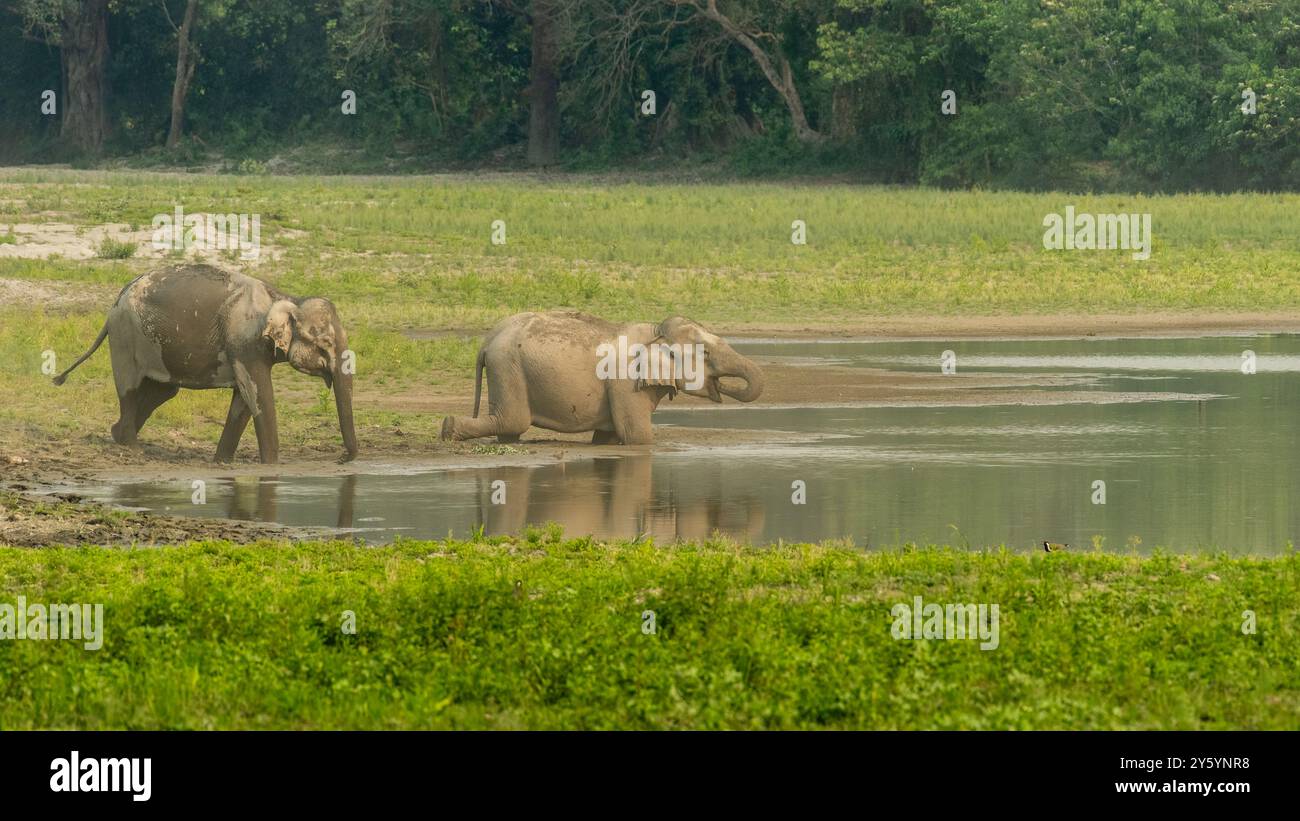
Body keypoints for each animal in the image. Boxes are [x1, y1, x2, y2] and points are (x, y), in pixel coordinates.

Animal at [52, 263, 357, 464]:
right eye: (324, 345)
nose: (342, 459)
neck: (286, 298)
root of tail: (114, 304)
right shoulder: (244, 343)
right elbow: (258, 395)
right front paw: (271, 467)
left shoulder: (247, 350)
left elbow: (244, 400)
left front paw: (222, 462)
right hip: (126, 336)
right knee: (129, 386)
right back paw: (131, 447)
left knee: (162, 391)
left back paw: (117, 435)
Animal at [440, 310, 764, 445]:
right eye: (706, 353)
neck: (655, 330)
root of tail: (487, 340)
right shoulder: (625, 382)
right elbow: (636, 435)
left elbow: (608, 435)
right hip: (508, 367)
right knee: (512, 420)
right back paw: (448, 428)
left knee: (509, 426)